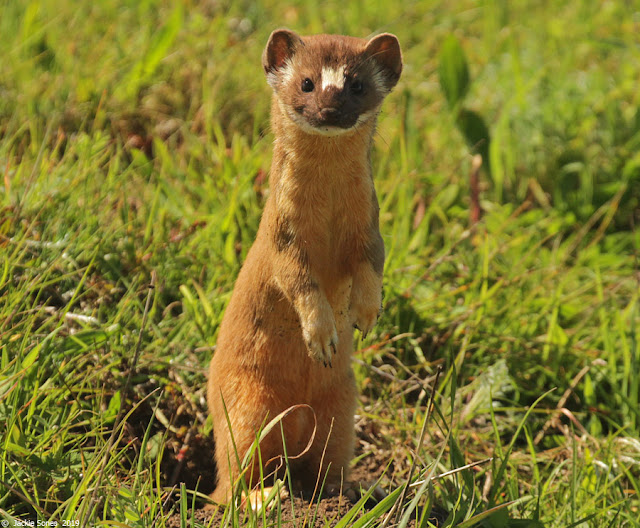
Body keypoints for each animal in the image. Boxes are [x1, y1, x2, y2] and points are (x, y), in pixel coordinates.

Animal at [207, 29, 402, 508]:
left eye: (356, 84)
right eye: (308, 83)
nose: (330, 110)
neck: (328, 213)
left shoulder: (370, 227)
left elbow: (372, 264)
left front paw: (364, 312)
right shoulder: (283, 235)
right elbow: (298, 280)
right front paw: (321, 334)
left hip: (342, 406)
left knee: (326, 462)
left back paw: (352, 488)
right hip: (247, 406)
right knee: (233, 478)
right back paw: (264, 496)